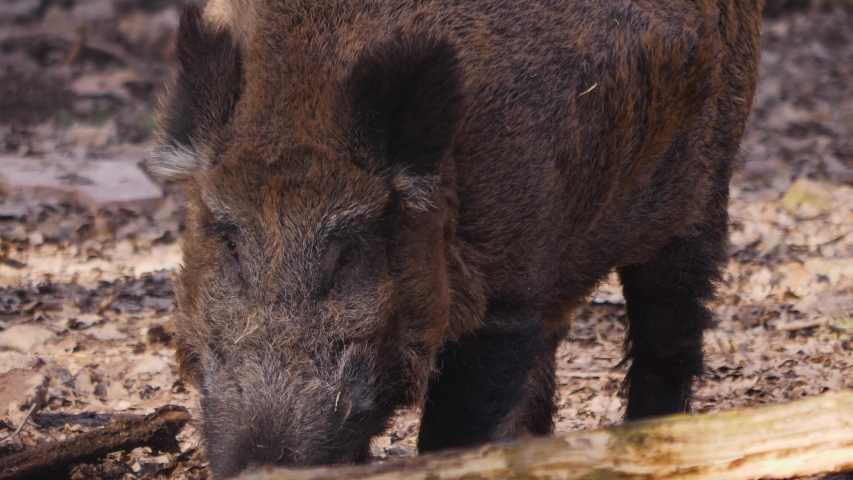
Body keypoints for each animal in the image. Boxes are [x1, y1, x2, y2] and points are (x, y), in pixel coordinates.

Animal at [148, 0, 762, 476]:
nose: (262, 463)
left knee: (670, 331)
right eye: (230, 245)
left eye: (348, 253)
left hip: (703, 188)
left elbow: (455, 430)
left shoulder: (507, 292)